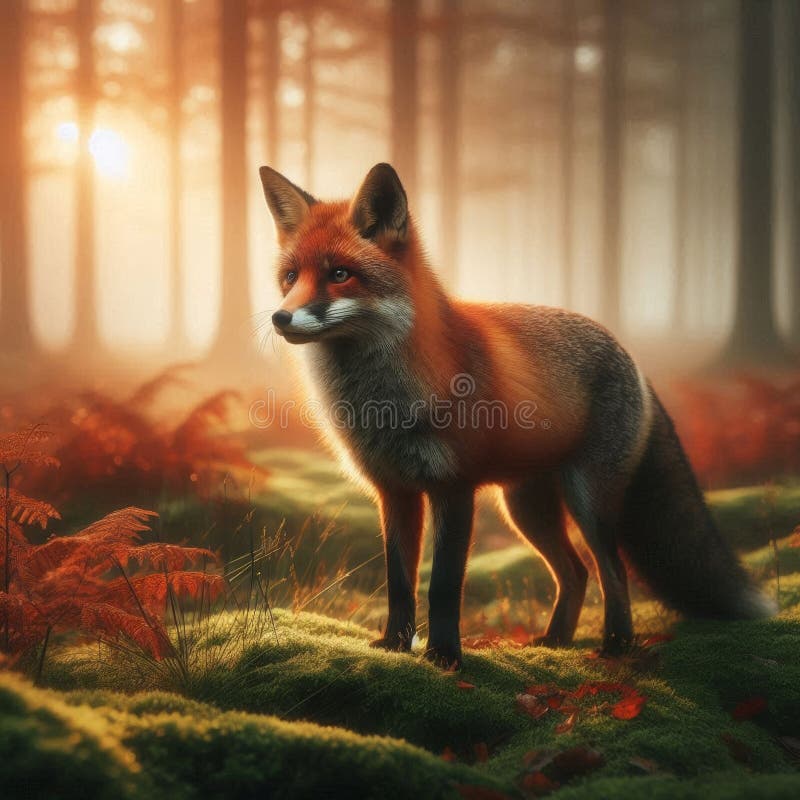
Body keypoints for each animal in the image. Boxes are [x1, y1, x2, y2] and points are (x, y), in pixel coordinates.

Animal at [258, 162, 776, 668]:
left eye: (340, 273)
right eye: (290, 277)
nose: (280, 318)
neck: (384, 403)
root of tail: (632, 358)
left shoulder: (453, 488)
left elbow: (443, 586)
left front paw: (445, 656)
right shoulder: (395, 493)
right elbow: (400, 583)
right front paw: (395, 645)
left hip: (587, 501)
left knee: (613, 572)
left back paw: (615, 645)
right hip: (526, 507)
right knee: (576, 572)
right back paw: (555, 641)